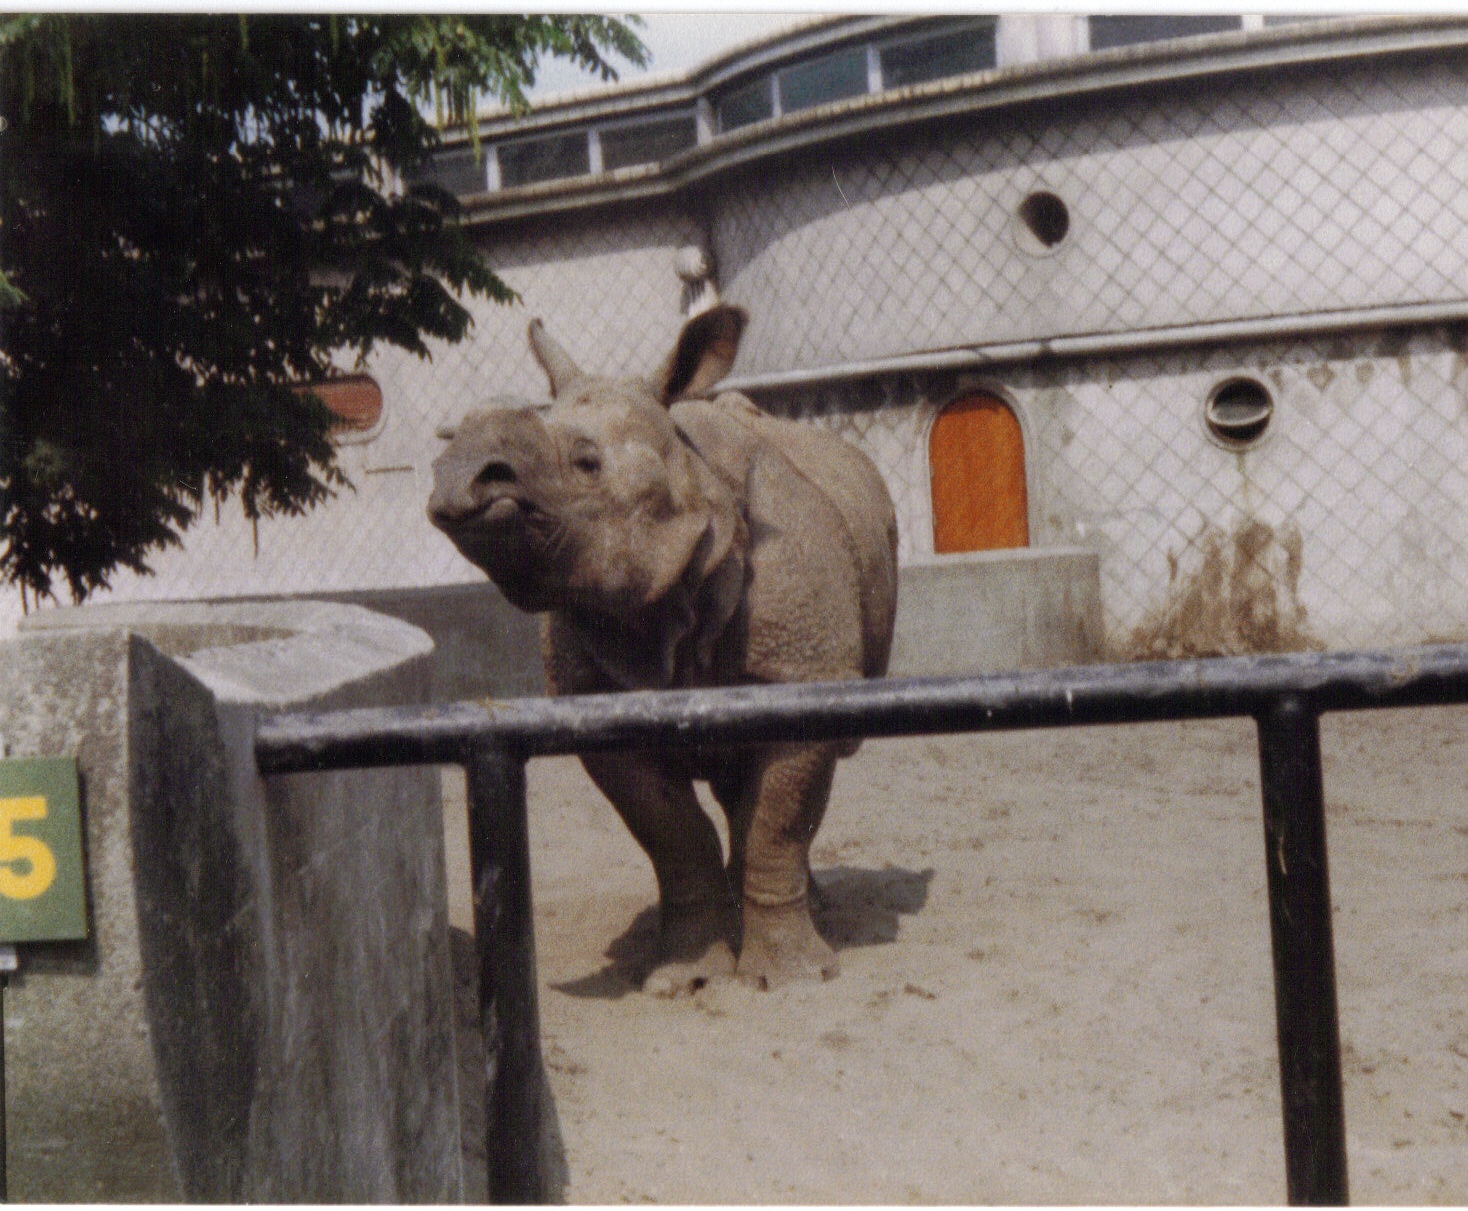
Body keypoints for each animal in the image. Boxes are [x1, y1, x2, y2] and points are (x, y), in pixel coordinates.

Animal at [428, 304, 898, 993]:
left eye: (587, 462)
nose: (460, 474)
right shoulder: (597, 702)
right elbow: (673, 835)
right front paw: (688, 979)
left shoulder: (803, 676)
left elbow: (778, 823)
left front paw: (794, 979)